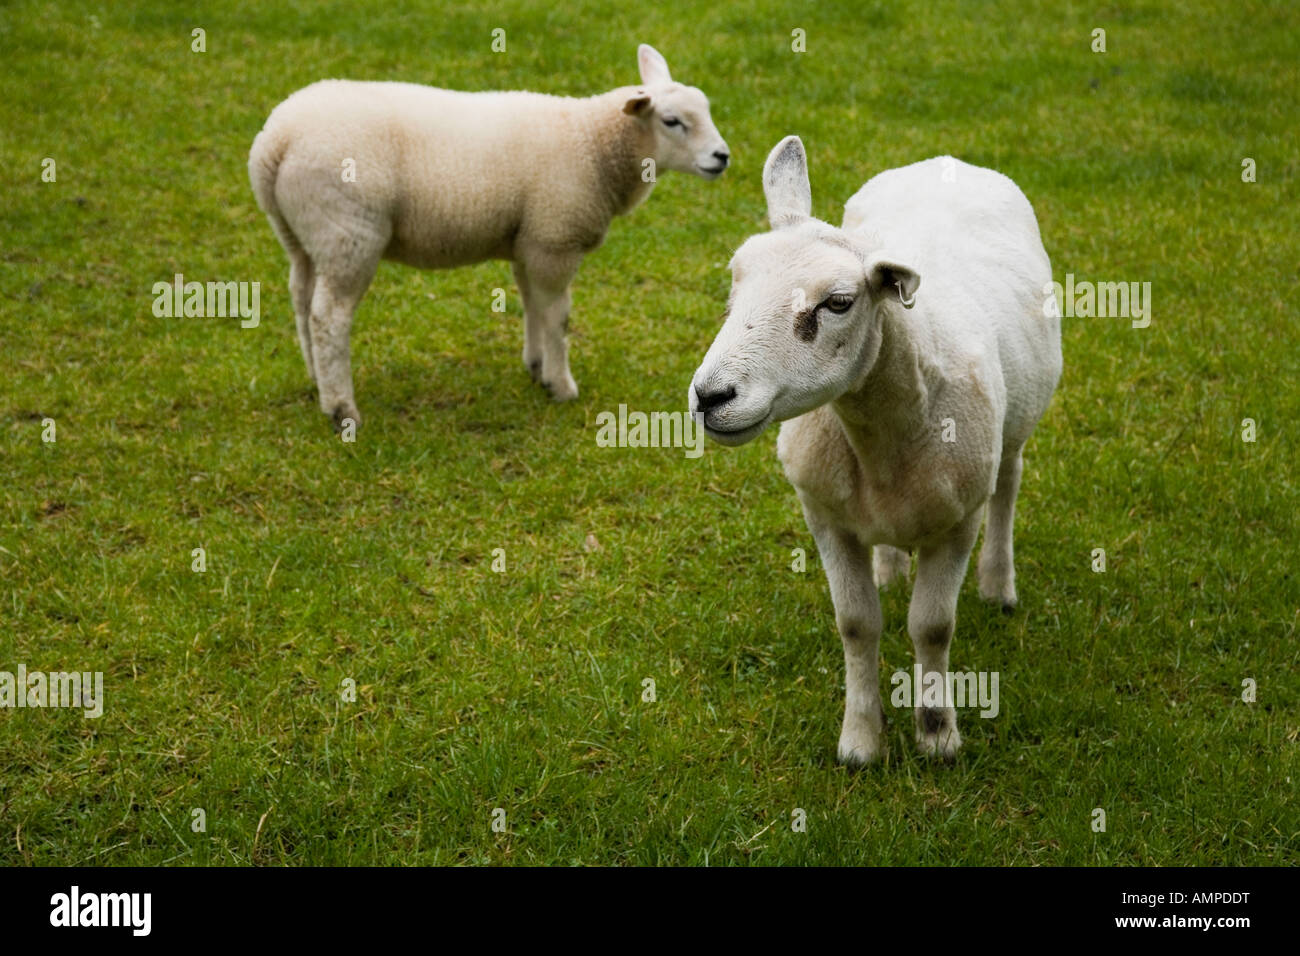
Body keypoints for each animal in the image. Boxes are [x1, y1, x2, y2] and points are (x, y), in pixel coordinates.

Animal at [249, 44, 729, 426]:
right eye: (672, 121)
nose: (722, 157)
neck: (592, 141)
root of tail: (275, 144)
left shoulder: (529, 241)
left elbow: (531, 304)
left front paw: (536, 367)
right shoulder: (555, 240)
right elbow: (558, 316)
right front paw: (562, 385)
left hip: (304, 235)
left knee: (301, 300)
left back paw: (317, 379)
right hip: (349, 234)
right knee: (329, 318)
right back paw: (341, 409)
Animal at [689, 136, 1062, 765]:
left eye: (838, 302)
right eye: (735, 279)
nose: (711, 396)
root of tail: (944, 162)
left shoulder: (958, 522)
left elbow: (932, 626)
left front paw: (937, 735)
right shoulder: (825, 516)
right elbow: (858, 623)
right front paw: (861, 741)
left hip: (1014, 425)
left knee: (1008, 484)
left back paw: (998, 586)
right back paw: (890, 568)